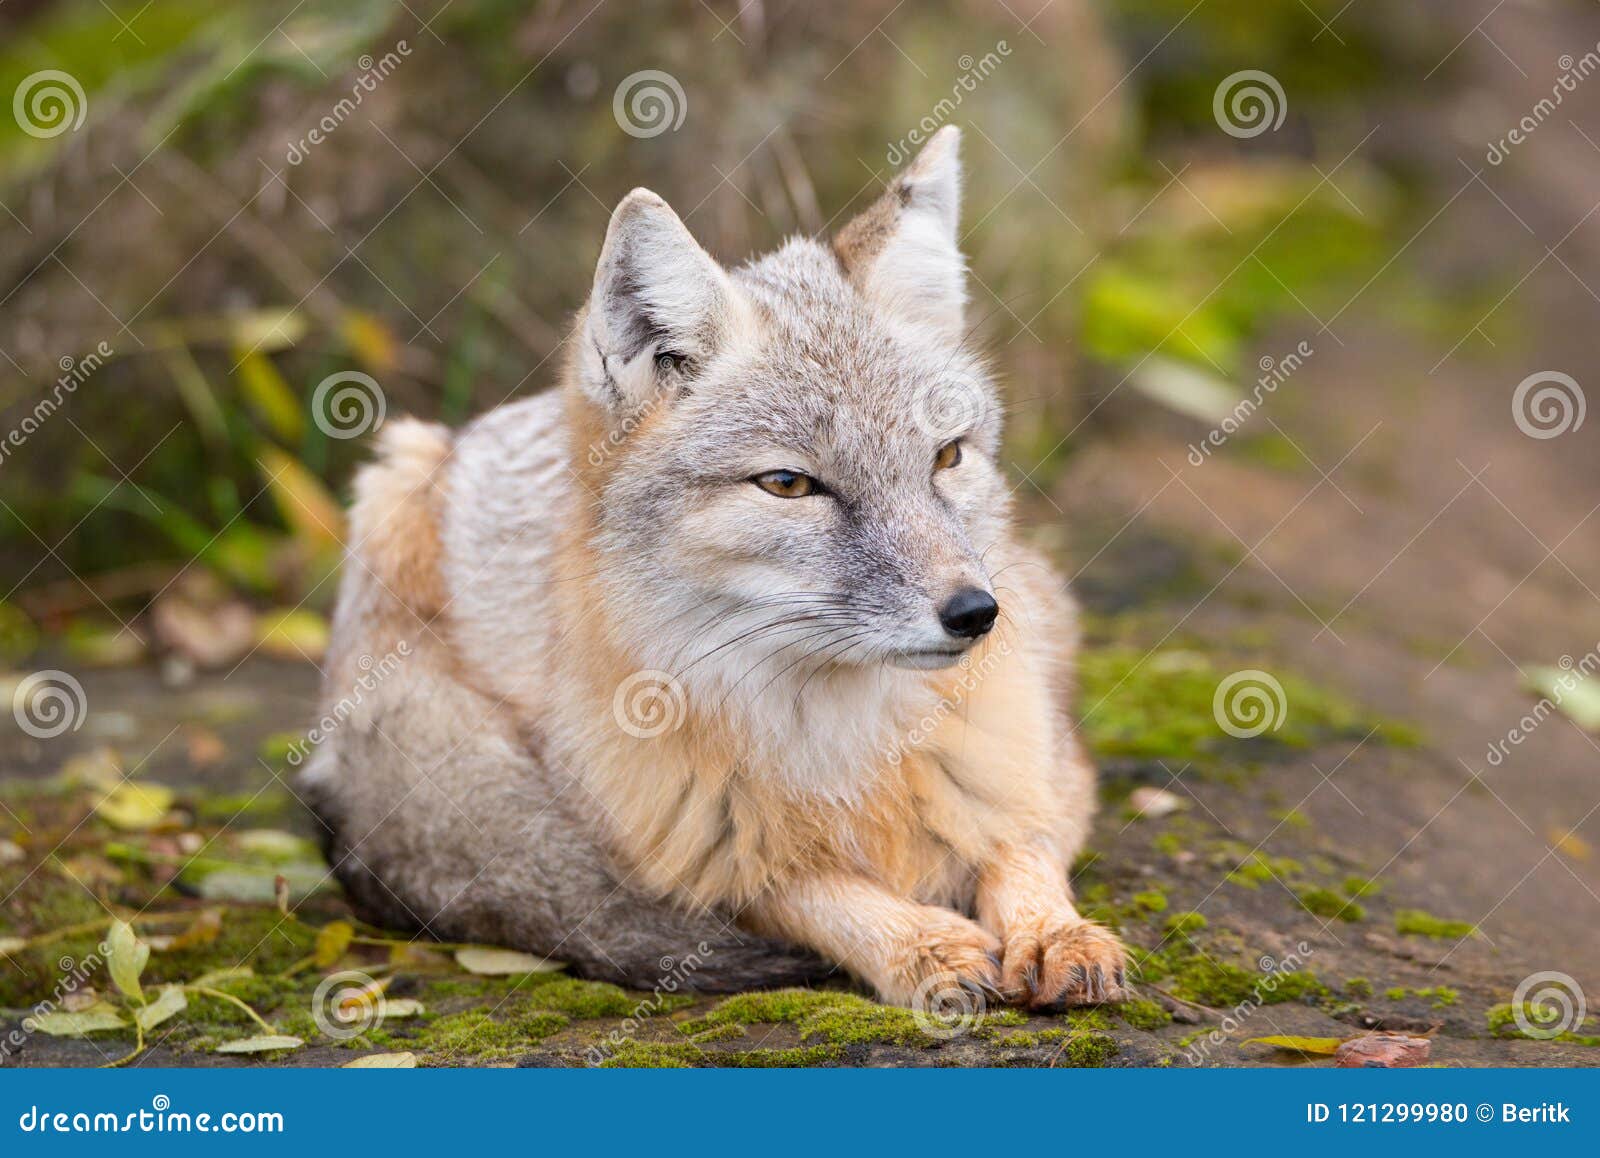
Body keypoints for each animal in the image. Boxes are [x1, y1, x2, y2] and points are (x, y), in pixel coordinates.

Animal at [299, 126, 1128, 1009]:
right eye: (789, 484)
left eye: (946, 458)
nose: (975, 613)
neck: (851, 744)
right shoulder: (693, 859)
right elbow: (815, 890)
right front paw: (922, 943)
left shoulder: (1056, 771)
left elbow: (1020, 847)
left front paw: (1055, 931)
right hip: (392, 482)